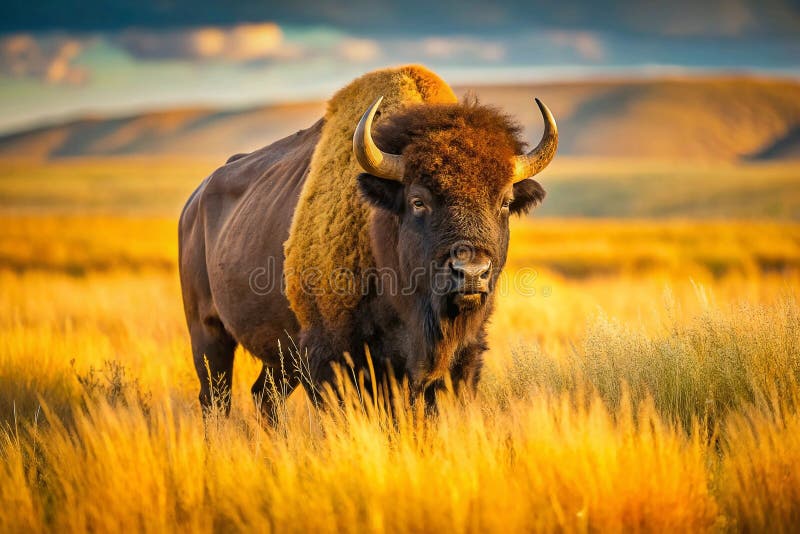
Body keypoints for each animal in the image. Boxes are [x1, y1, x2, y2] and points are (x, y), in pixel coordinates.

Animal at [178, 66, 557, 419]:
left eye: (505, 202)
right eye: (418, 200)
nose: (472, 272)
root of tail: (192, 205)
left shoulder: (459, 360)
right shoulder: (330, 359)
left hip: (280, 357)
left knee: (264, 396)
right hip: (208, 333)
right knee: (215, 399)